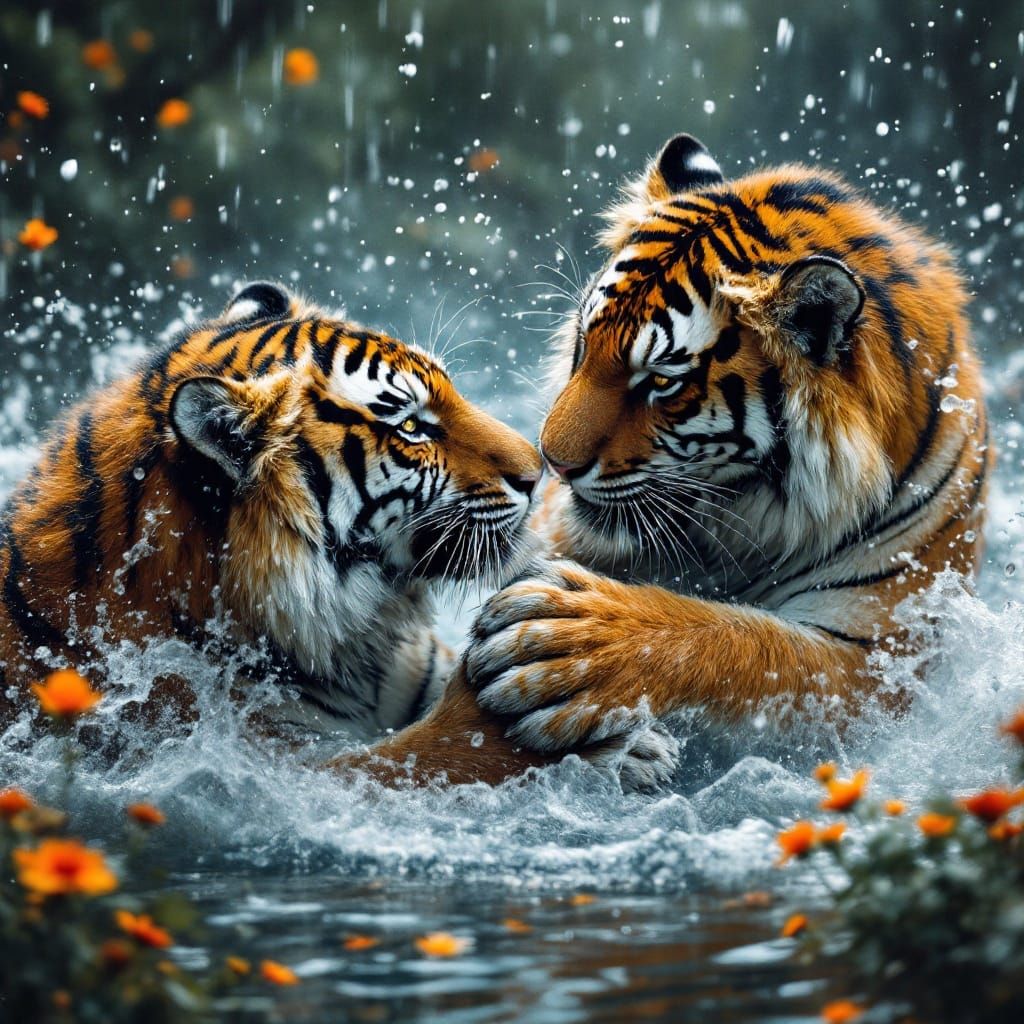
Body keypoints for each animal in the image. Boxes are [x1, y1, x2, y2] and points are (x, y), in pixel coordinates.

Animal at [357, 132, 991, 788]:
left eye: (661, 382)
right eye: (584, 342)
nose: (551, 463)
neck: (743, 522)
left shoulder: (879, 654)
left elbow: (754, 646)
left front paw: (577, 646)